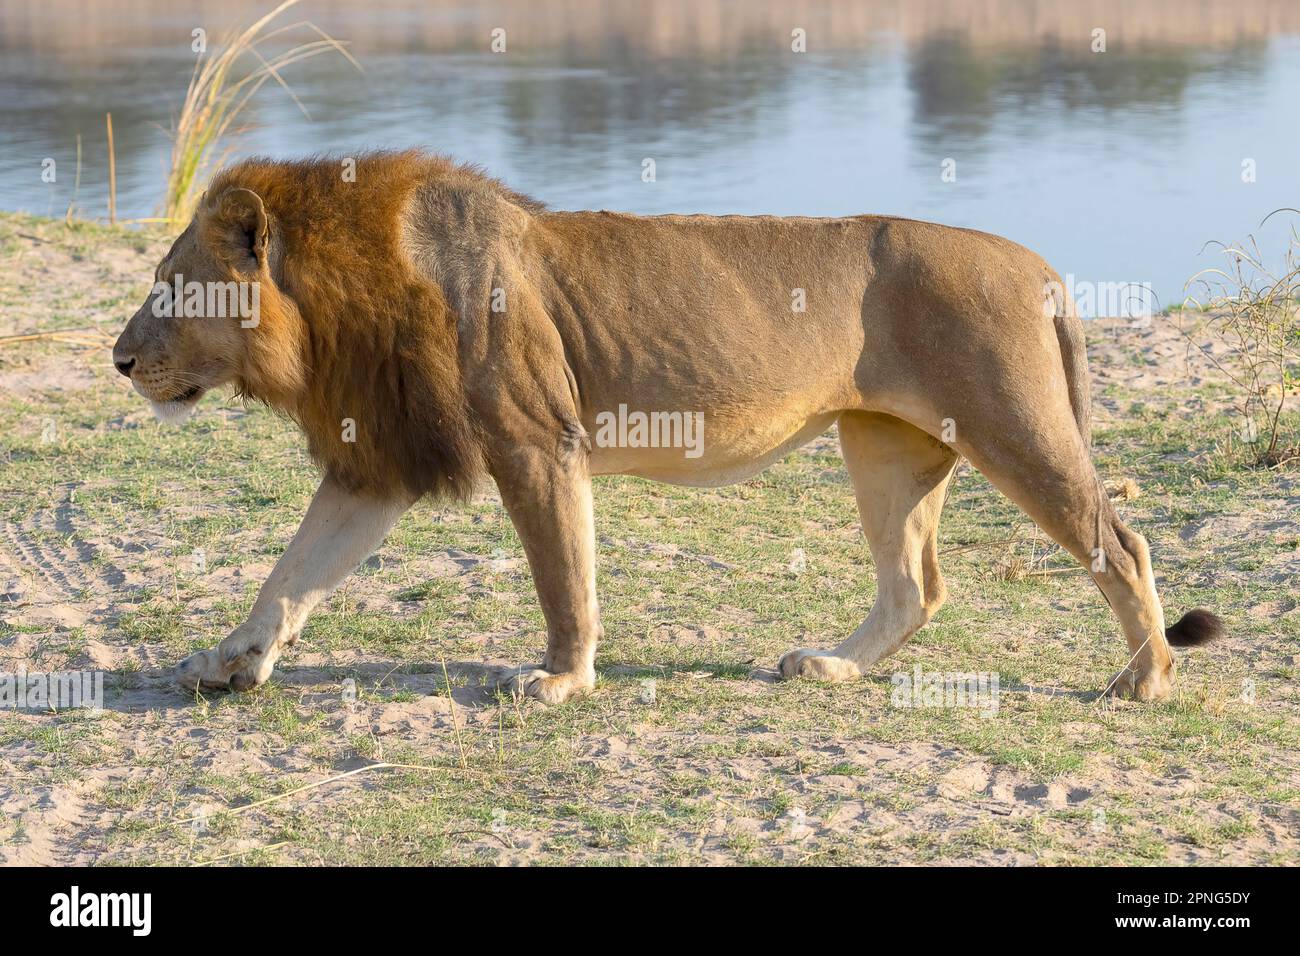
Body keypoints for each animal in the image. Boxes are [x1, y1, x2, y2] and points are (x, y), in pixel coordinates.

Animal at [111, 151, 1222, 704]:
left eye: (174, 286)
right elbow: (292, 571)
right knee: (916, 586)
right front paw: (231, 661)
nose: (118, 359)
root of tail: (1039, 265)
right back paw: (830, 665)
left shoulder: (534, 440)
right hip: (884, 447)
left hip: (1014, 427)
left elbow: (564, 579)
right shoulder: (379, 459)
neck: (334, 298)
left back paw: (1146, 679)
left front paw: (561, 678)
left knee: (1121, 545)